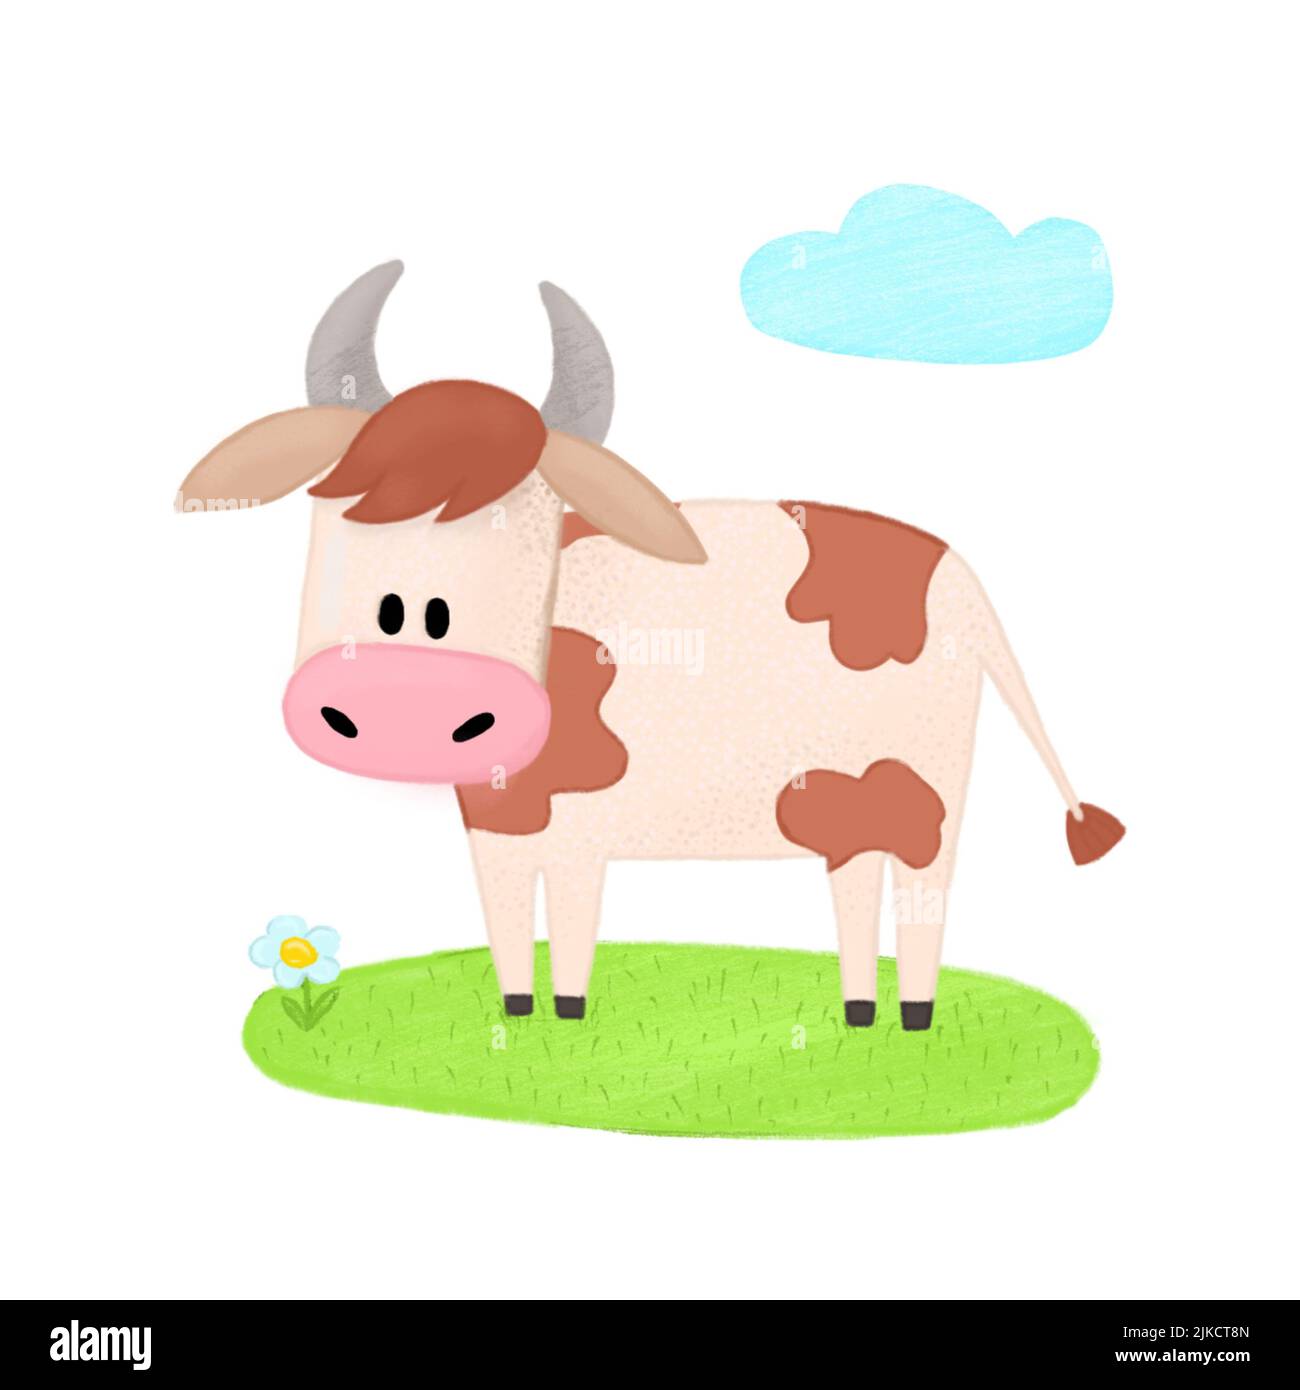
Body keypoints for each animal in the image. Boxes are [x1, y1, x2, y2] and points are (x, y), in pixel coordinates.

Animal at [178, 261, 1123, 1029]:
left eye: (532, 526)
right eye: (334, 510)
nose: (401, 691)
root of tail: (962, 575)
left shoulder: (583, 836)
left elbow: (575, 921)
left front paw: (565, 1017)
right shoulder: (496, 827)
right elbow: (508, 922)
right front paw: (519, 1013)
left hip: (933, 794)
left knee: (923, 903)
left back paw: (914, 1023)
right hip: (855, 802)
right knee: (857, 893)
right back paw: (859, 1016)